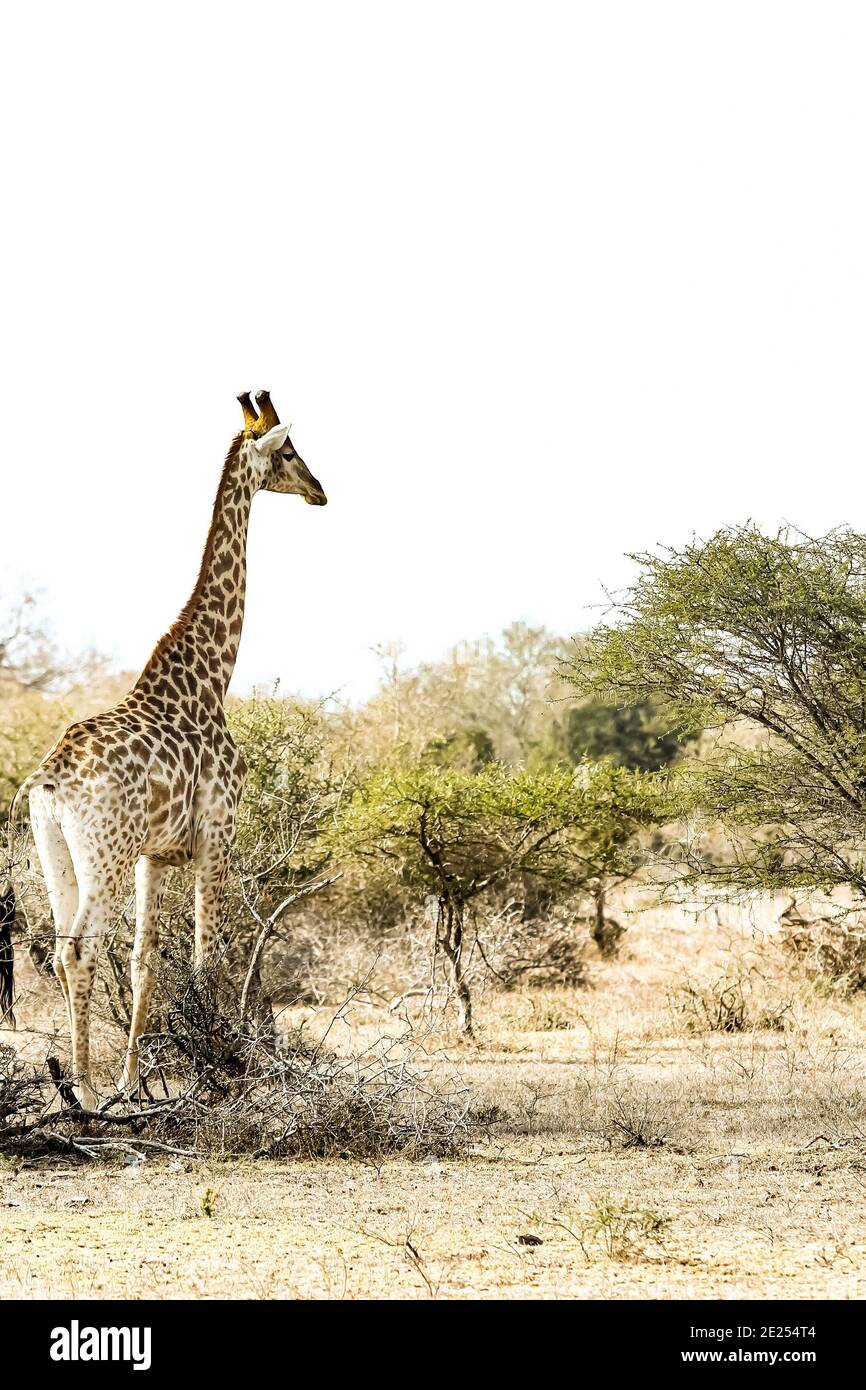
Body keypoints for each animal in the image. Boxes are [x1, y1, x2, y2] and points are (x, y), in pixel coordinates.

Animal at [7, 390, 326, 1108]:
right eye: (290, 451)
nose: (321, 490)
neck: (209, 677)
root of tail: (49, 781)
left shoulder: (156, 855)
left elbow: (145, 959)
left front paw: (135, 1082)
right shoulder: (217, 830)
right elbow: (210, 957)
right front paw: (217, 1073)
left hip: (58, 852)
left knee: (62, 949)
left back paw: (83, 1087)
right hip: (104, 853)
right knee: (78, 950)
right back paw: (83, 1094)